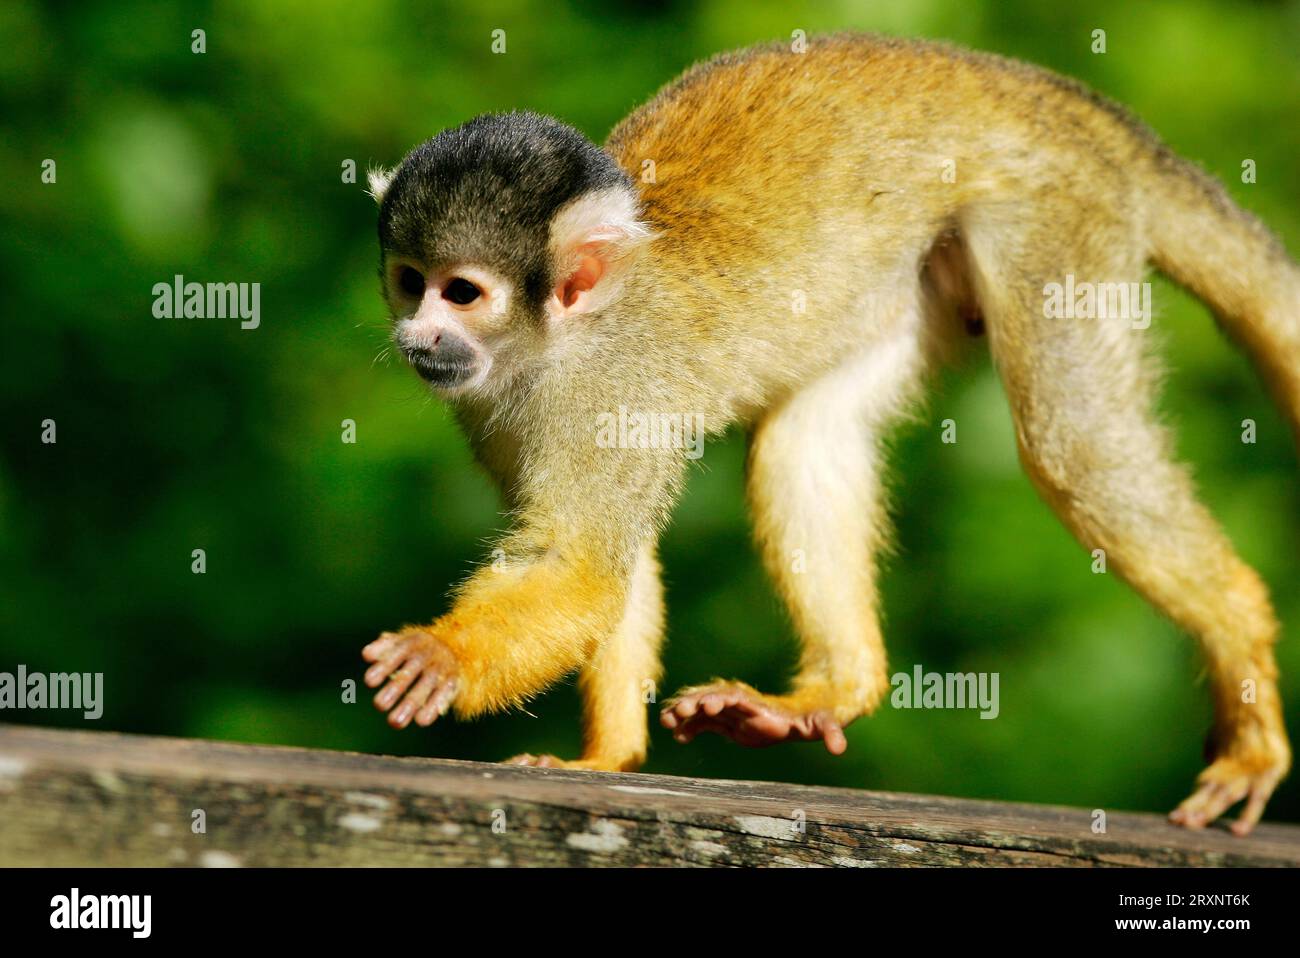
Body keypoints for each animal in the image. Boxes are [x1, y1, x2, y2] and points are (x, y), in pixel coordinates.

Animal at [361, 34, 1297, 834]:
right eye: (410, 282)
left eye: (463, 293)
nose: (418, 337)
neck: (559, 339)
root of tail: (1054, 98)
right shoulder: (487, 406)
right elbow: (610, 567)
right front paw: (608, 757)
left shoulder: (604, 388)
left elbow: (582, 566)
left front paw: (441, 657)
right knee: (805, 434)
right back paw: (835, 690)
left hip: (1055, 217)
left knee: (1073, 447)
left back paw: (1241, 640)